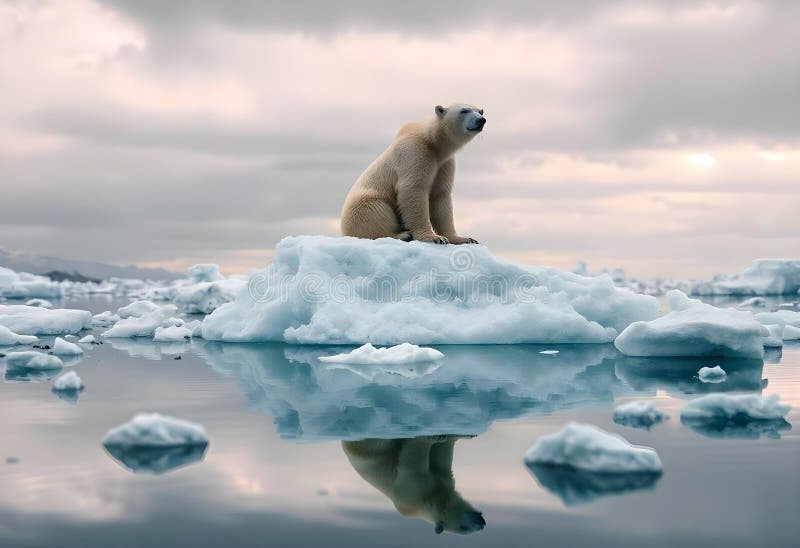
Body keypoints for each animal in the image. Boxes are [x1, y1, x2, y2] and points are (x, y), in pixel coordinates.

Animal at [340, 104, 485, 245]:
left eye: (480, 111)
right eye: (464, 110)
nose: (481, 120)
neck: (433, 142)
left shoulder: (445, 163)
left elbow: (441, 196)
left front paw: (465, 239)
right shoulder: (414, 153)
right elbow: (414, 190)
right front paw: (434, 238)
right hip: (363, 204)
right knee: (375, 211)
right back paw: (402, 235)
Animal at [342, 436, 486, 535]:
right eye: (463, 528)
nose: (482, 524)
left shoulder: (441, 477)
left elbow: (441, 455)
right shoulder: (411, 490)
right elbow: (413, 456)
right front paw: (432, 437)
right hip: (369, 446)